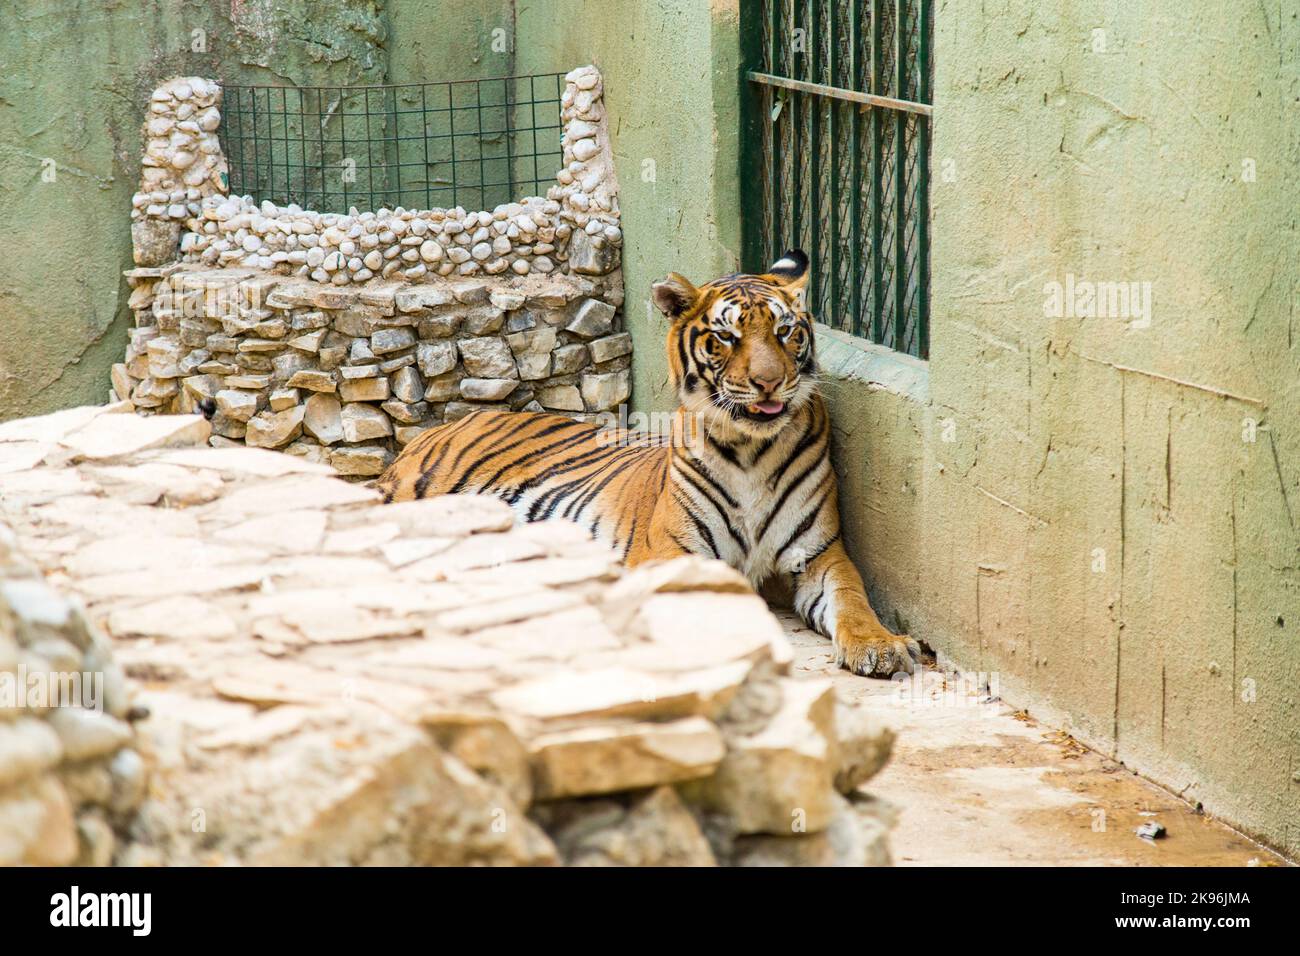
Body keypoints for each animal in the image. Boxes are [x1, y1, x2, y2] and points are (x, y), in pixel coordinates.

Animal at [377, 250, 920, 677]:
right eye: (726, 338)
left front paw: (881, 647)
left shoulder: (821, 555)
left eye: (786, 331)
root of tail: (433, 431)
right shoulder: (671, 551)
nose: (769, 383)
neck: (752, 450)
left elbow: (852, 600)